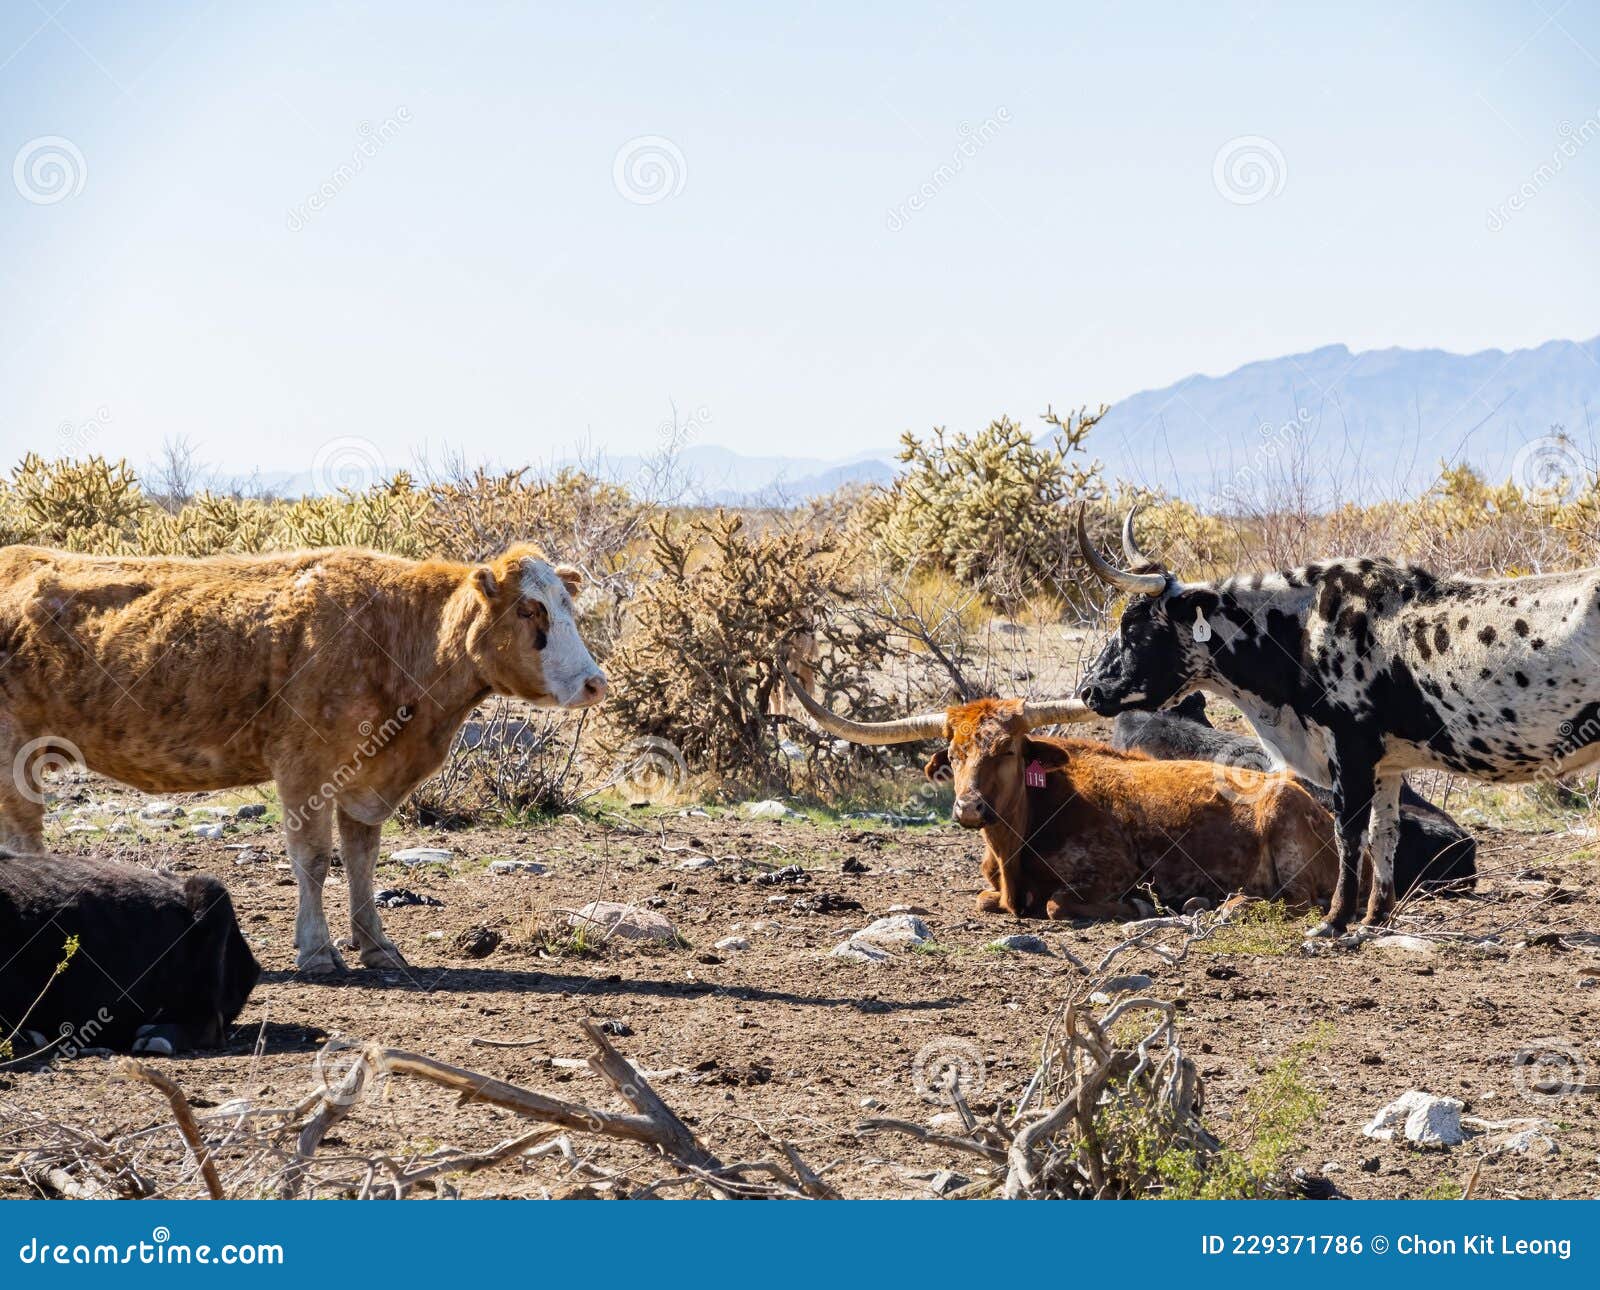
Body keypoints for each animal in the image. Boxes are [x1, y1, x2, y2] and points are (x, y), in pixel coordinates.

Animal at [0, 543, 606, 973]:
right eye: (530, 610)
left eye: (569, 608)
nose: (595, 683)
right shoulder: (304, 766)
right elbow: (314, 859)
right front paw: (317, 951)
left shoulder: (367, 778)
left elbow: (361, 858)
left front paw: (376, 945)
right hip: (14, 757)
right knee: (24, 839)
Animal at [779, 664, 1340, 920]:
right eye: (954, 755)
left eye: (1008, 749)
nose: (968, 807)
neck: (1015, 843)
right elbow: (986, 900)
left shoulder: (1112, 870)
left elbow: (1054, 905)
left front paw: (1137, 907)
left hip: (1288, 838)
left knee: (1297, 900)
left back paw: (1222, 903)